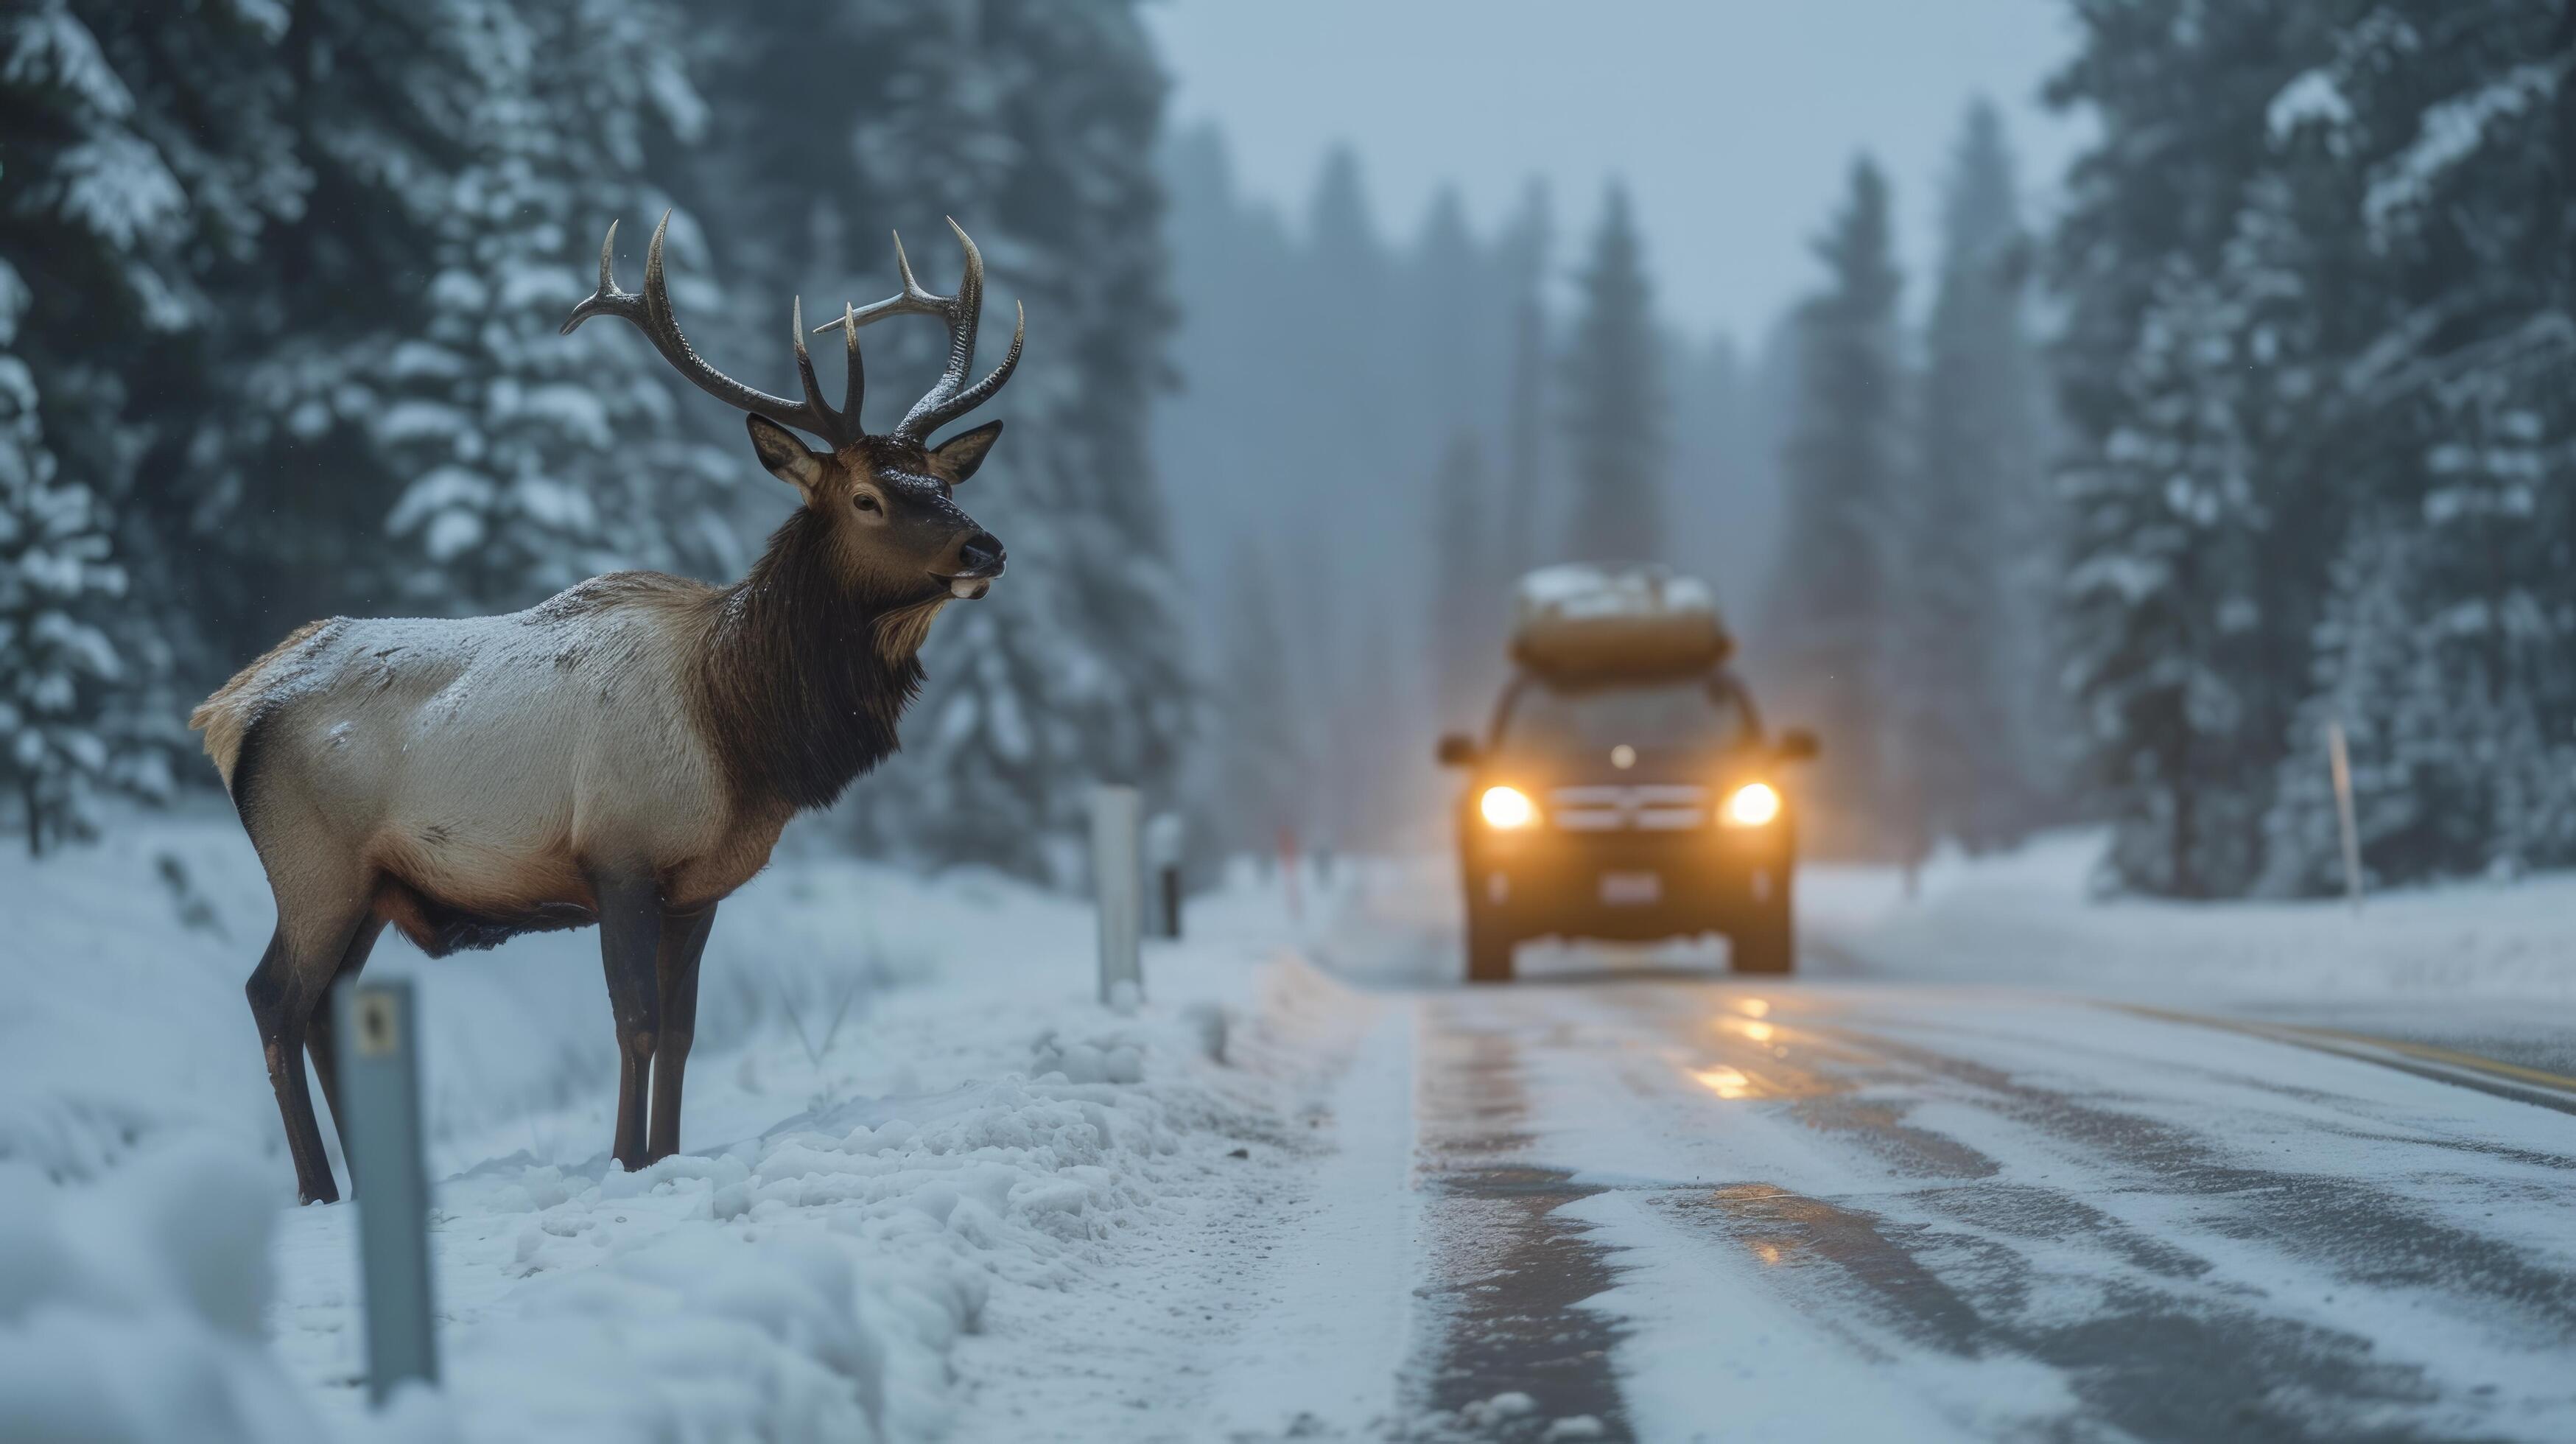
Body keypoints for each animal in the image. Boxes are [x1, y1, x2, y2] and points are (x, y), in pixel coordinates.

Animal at [191, 213, 1022, 1204]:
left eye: (943, 482)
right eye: (867, 497)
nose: (984, 547)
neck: (743, 733)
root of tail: (230, 709)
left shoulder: (701, 883)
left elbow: (684, 1030)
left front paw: (665, 1154)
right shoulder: (617, 853)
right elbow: (634, 1020)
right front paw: (627, 1159)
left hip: (368, 889)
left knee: (326, 1008)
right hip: (313, 867)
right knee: (272, 997)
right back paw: (318, 1190)